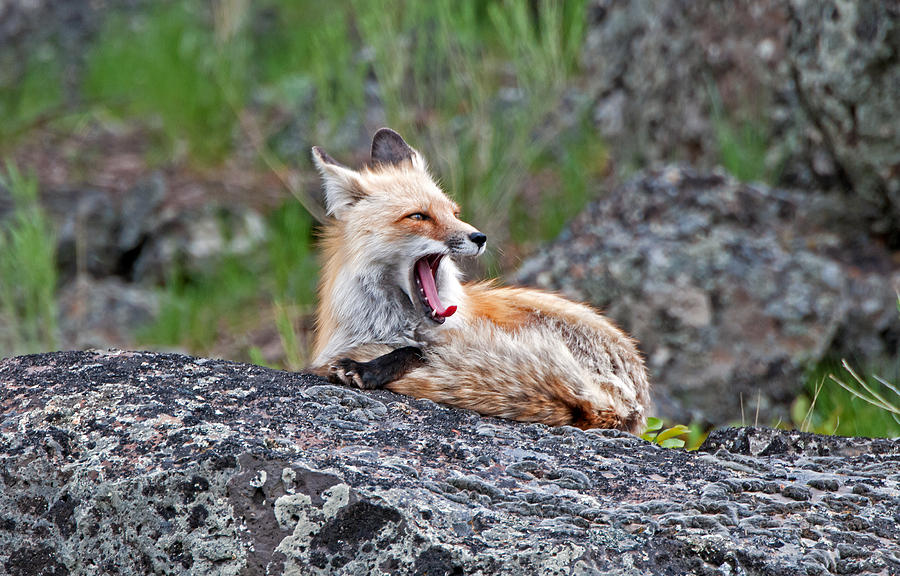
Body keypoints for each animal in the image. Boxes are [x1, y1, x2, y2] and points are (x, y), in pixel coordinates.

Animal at [307, 128, 650, 433]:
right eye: (418, 216)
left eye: (454, 212)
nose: (479, 237)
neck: (387, 327)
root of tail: (634, 404)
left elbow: (417, 351)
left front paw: (367, 368)